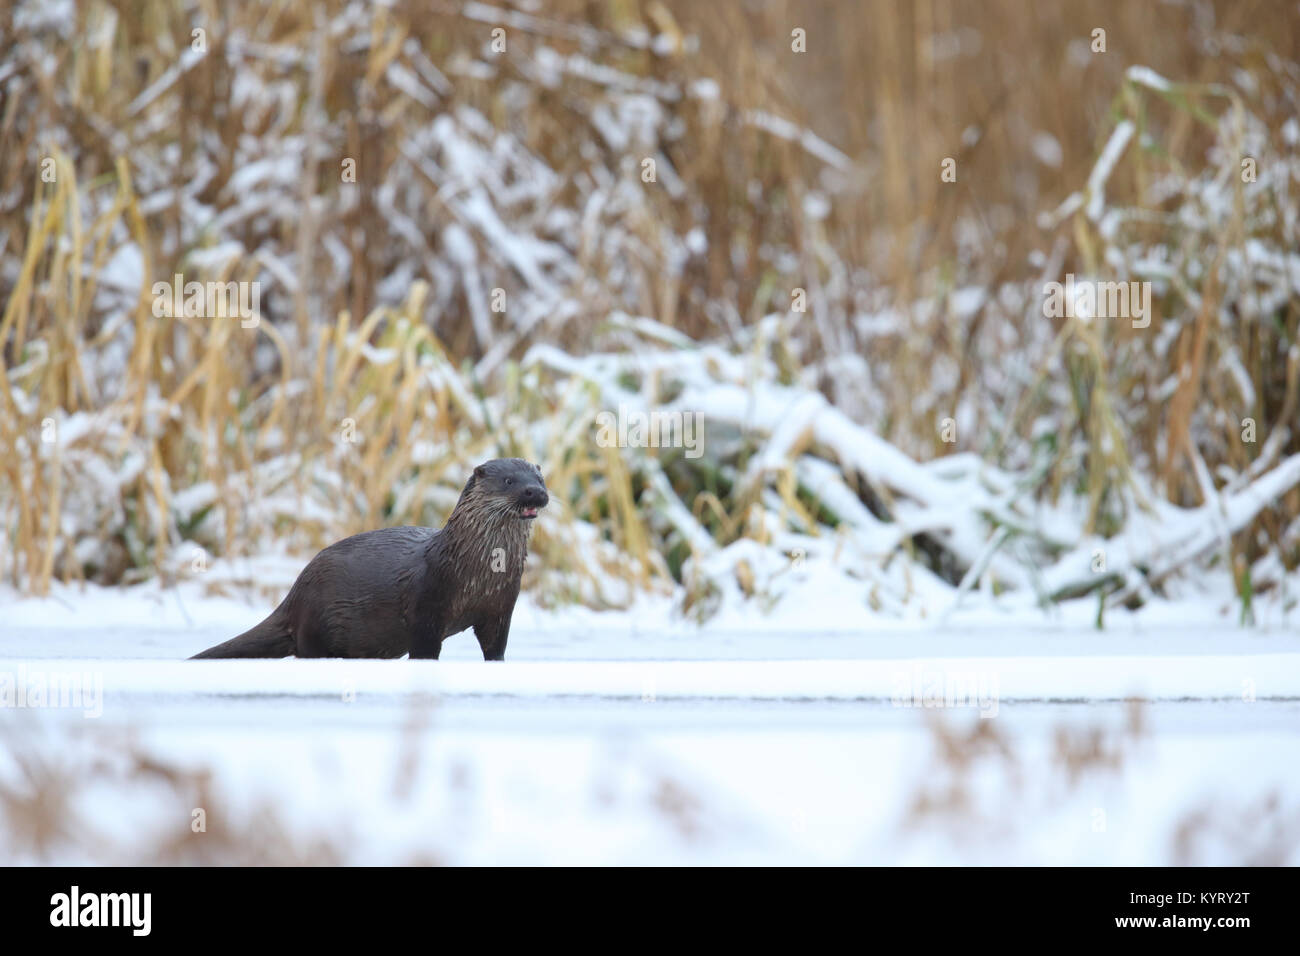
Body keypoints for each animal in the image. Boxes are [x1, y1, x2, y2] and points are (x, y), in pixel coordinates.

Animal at [190, 458, 548, 661]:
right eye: (509, 481)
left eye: (539, 480)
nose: (537, 493)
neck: (477, 573)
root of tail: (294, 594)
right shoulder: (427, 604)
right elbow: (424, 649)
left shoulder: (501, 607)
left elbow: (495, 647)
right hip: (314, 623)